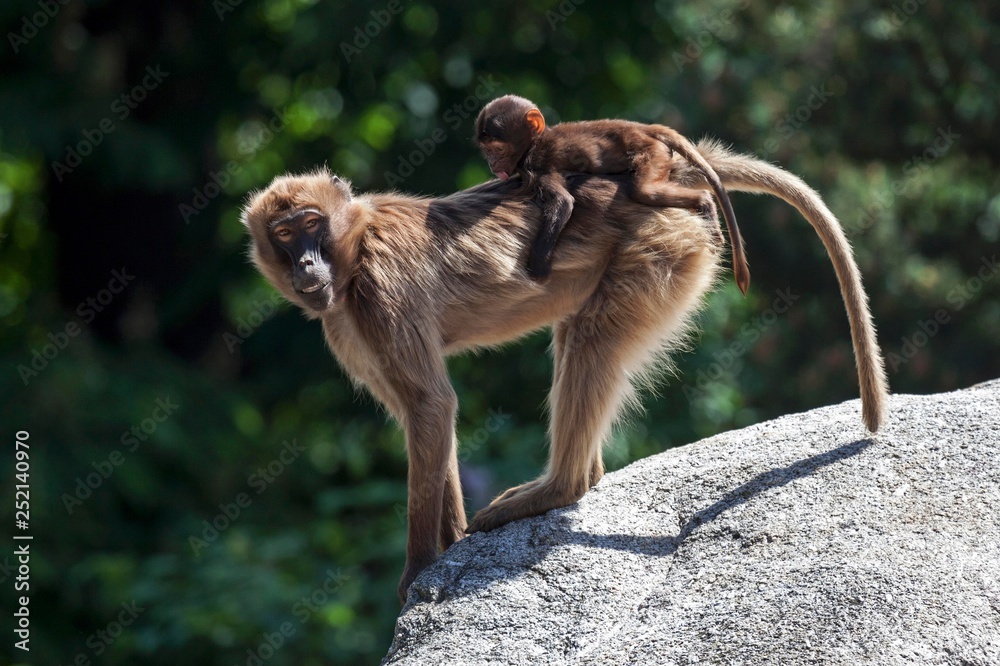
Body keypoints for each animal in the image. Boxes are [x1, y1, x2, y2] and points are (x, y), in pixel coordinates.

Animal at [241, 141, 888, 605]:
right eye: (284, 234)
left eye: (312, 225)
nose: (305, 264)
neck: (353, 252)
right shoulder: (346, 324)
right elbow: (422, 415)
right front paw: (450, 546)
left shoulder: (381, 296)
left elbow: (430, 407)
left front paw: (420, 571)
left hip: (660, 250)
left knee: (590, 339)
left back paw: (562, 487)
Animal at [474, 94, 749, 294]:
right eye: (486, 150)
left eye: (498, 149)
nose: (492, 163)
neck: (535, 141)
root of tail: (643, 128)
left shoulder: (537, 165)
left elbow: (563, 203)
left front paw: (538, 266)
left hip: (653, 152)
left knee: (644, 190)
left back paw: (705, 203)